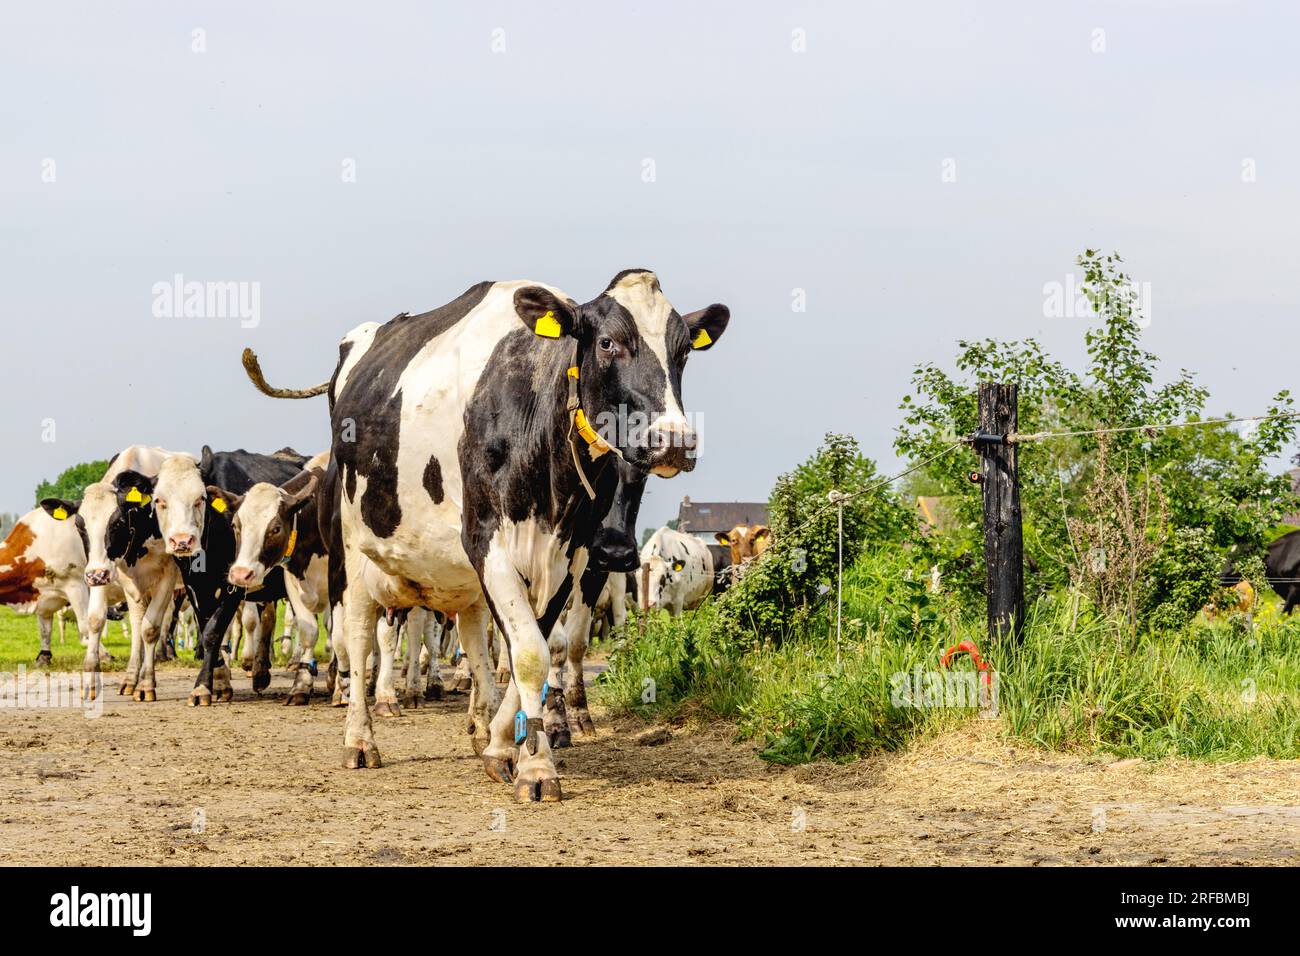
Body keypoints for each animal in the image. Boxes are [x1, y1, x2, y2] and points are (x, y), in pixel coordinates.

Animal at [243, 269, 730, 801]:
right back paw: (360, 739)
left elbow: (533, 647)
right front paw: (537, 767)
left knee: (474, 636)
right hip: (351, 552)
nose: (674, 440)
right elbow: (531, 653)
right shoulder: (486, 540)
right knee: (357, 637)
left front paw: (503, 747)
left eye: (683, 350)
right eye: (607, 343)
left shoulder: (570, 557)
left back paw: (480, 729)